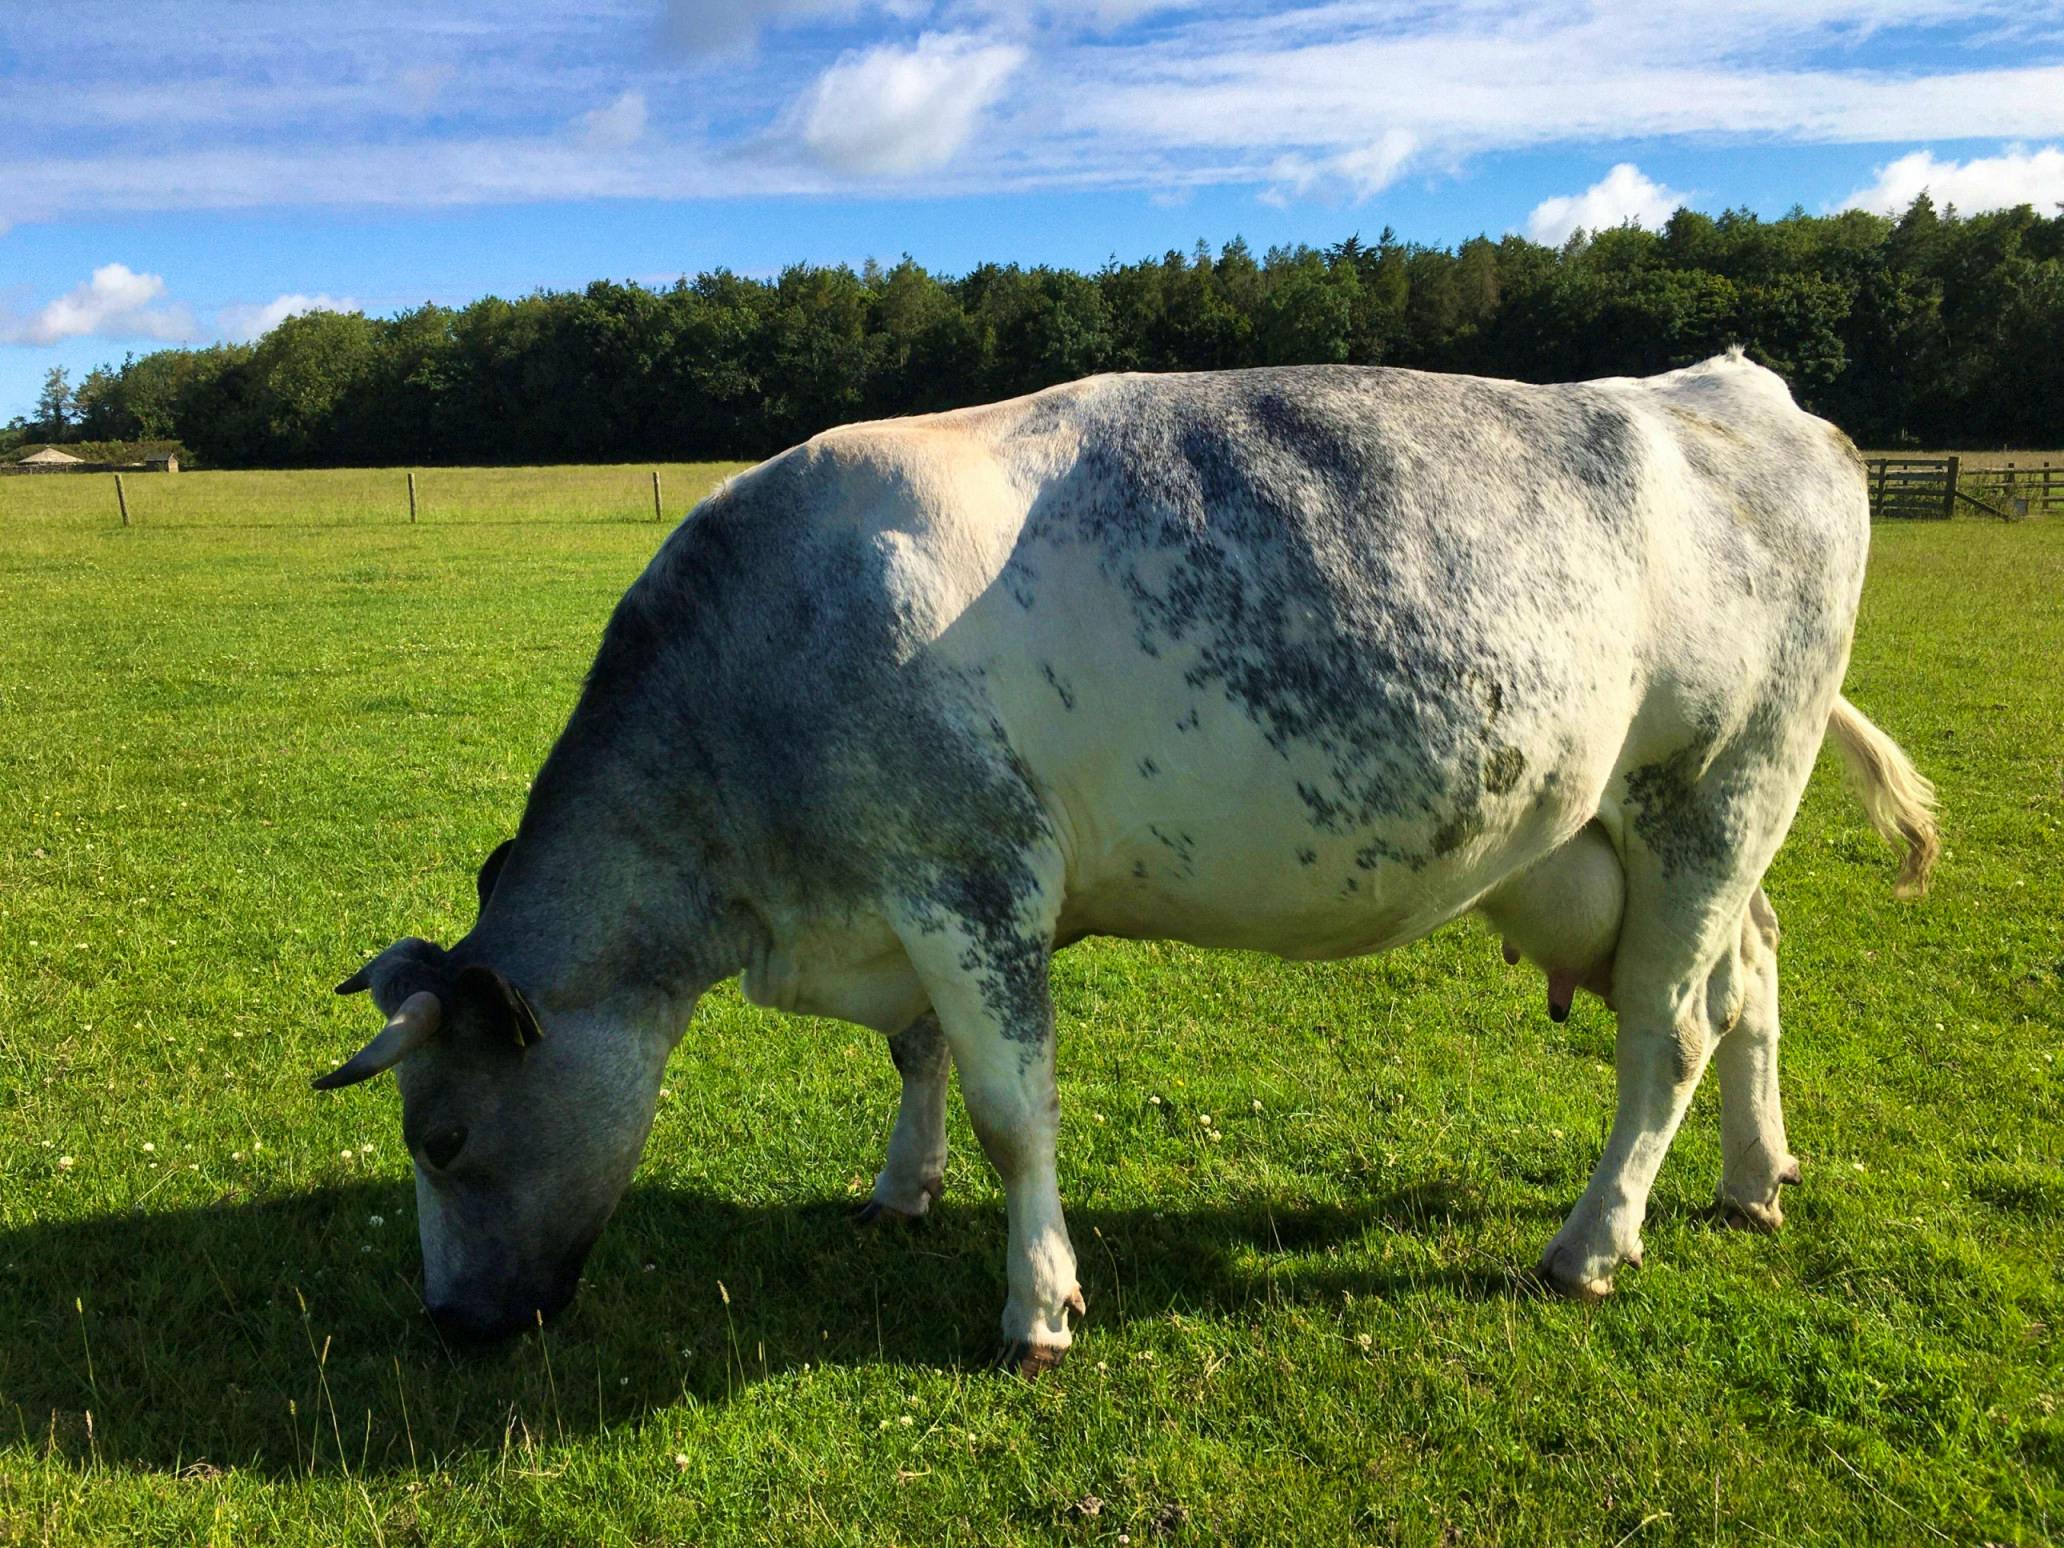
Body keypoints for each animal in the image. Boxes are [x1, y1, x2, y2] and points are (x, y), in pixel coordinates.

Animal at [316, 352, 1937, 1372]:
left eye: (440, 1138)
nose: (451, 1327)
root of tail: (1740, 388)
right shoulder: (912, 897)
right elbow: (917, 1059)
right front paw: (899, 1189)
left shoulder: (971, 878)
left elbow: (1011, 1110)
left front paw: (1036, 1307)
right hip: (1653, 836)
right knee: (1754, 972)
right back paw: (1755, 1175)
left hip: (1718, 783)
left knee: (1669, 1031)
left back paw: (1593, 1243)